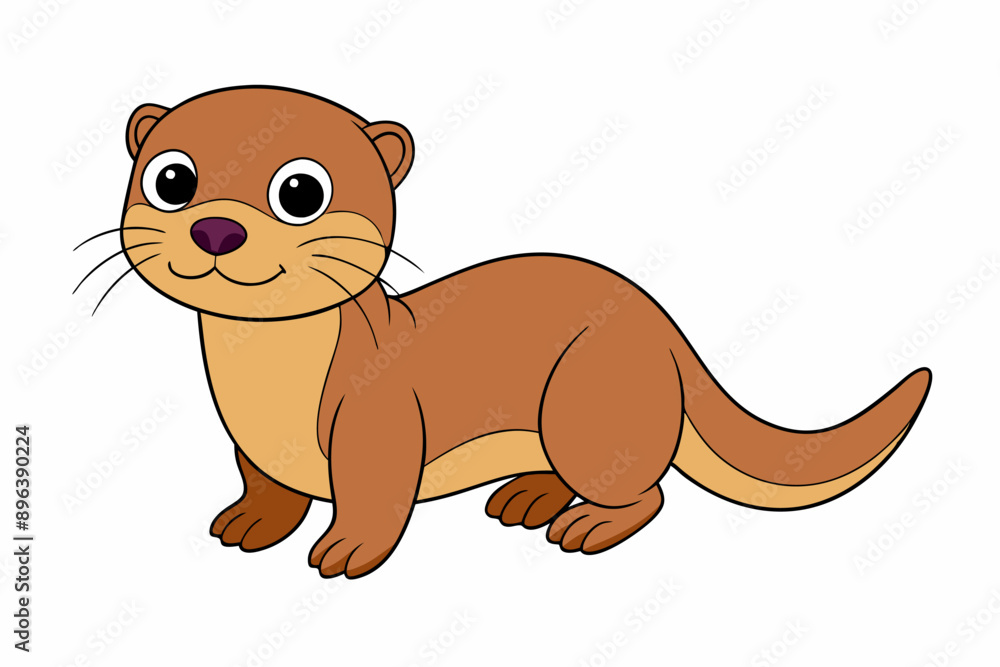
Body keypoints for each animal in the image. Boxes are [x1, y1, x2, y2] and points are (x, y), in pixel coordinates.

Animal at [101, 86, 929, 578]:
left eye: (300, 190)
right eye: (172, 179)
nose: (216, 229)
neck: (273, 385)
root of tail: (662, 323)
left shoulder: (380, 420)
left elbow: (375, 495)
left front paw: (346, 549)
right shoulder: (251, 440)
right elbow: (264, 479)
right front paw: (251, 520)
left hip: (590, 402)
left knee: (648, 492)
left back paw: (585, 525)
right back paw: (529, 497)